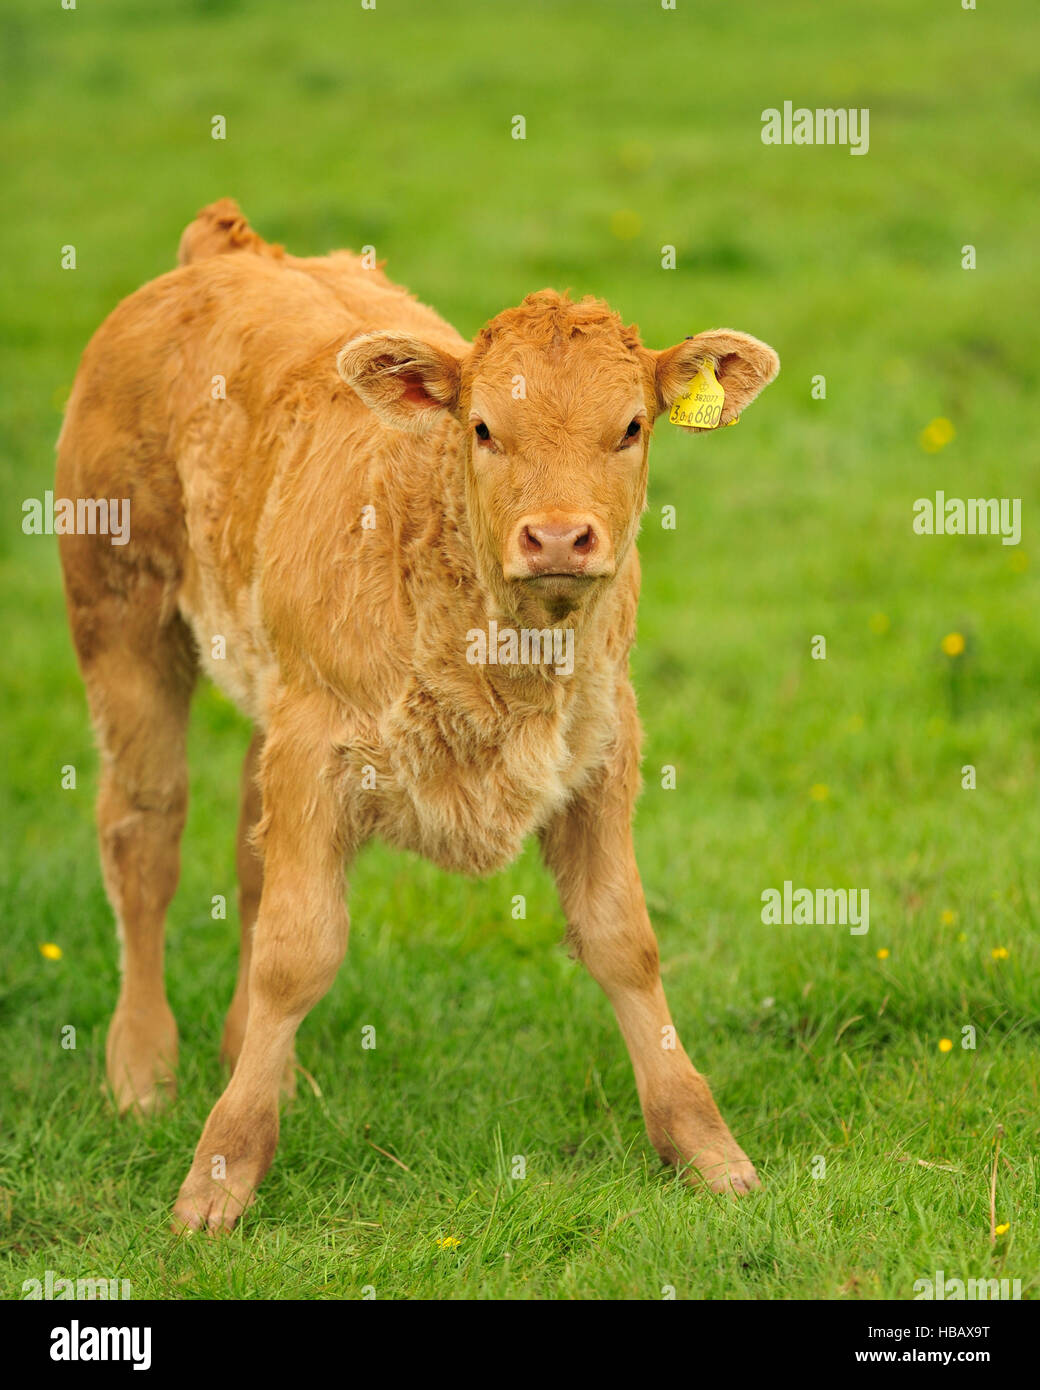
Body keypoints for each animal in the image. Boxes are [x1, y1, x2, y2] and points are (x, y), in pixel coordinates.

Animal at [55, 200, 779, 1232]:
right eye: (483, 428)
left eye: (632, 427)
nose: (558, 536)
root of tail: (228, 253)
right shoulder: (317, 748)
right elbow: (298, 950)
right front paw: (220, 1175)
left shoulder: (604, 749)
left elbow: (624, 943)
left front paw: (707, 1148)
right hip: (121, 617)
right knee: (144, 836)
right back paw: (143, 1068)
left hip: (266, 688)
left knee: (246, 857)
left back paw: (255, 1062)